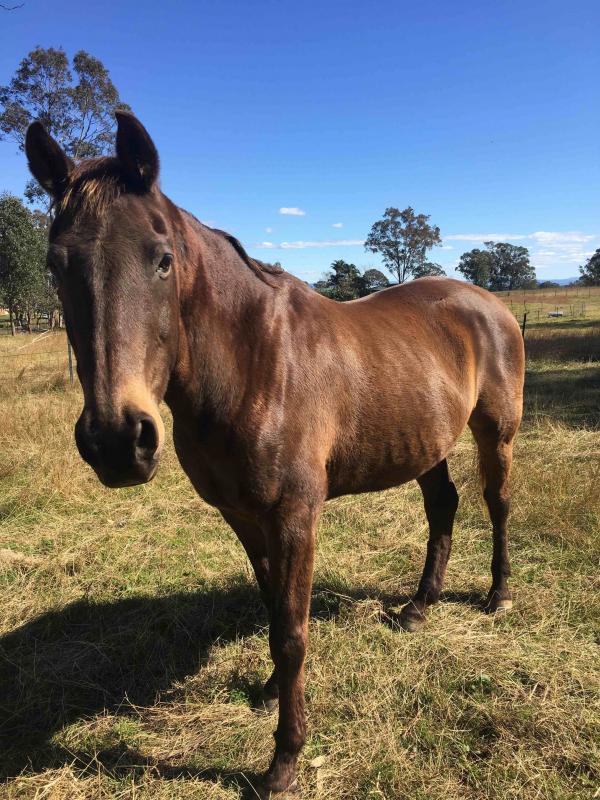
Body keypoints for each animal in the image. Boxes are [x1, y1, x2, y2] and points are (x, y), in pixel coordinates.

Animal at [25, 112, 524, 797]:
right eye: (55, 265)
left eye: (162, 260)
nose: (118, 441)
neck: (254, 363)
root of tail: (489, 303)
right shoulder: (242, 515)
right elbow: (271, 609)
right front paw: (266, 694)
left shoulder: (294, 516)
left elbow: (291, 630)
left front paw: (285, 758)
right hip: (427, 444)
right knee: (443, 508)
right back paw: (418, 607)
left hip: (494, 432)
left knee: (496, 503)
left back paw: (498, 594)